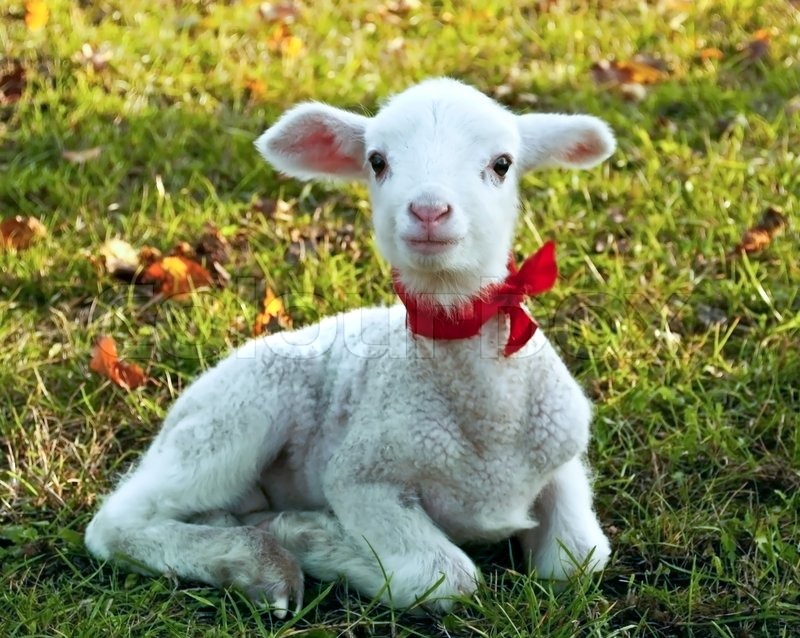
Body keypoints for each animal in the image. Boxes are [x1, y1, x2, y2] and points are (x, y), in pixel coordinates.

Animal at [85, 78, 616, 617]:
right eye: (377, 161)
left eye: (503, 164)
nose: (428, 211)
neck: (490, 425)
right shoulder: (361, 478)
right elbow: (443, 577)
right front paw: (307, 533)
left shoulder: (565, 457)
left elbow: (580, 558)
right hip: (235, 415)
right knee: (114, 524)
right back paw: (261, 565)